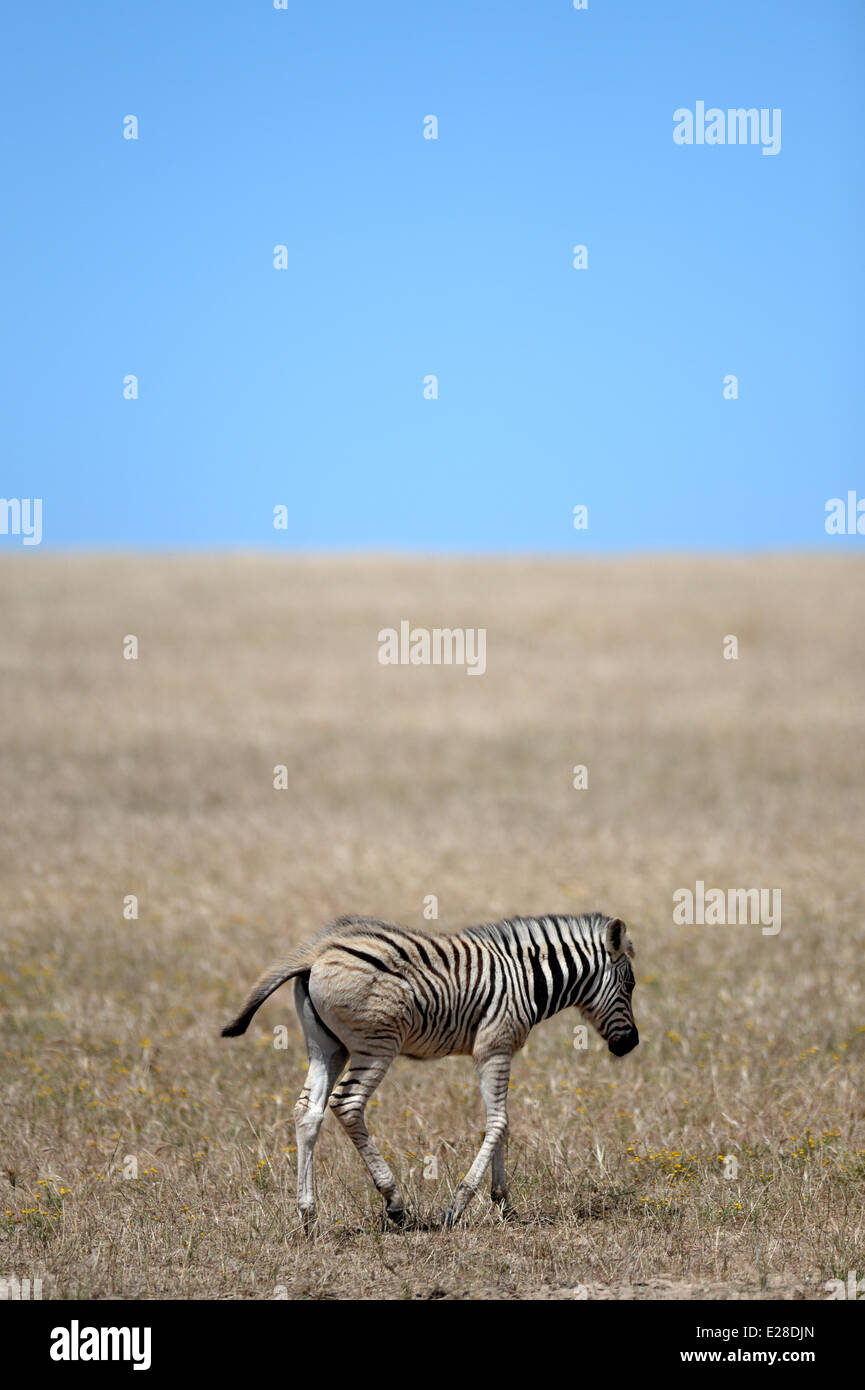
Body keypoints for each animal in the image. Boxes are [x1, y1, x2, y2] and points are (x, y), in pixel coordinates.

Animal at [221, 911, 638, 1228]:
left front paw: (503, 1202)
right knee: (347, 1104)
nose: (631, 1044)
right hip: (377, 1045)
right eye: (630, 984)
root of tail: (318, 953)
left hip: (326, 1047)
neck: (528, 980)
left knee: (308, 1111)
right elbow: (499, 1122)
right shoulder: (495, 1047)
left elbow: (501, 1122)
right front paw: (460, 1205)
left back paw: (307, 1213)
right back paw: (394, 1202)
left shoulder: (499, 1051)